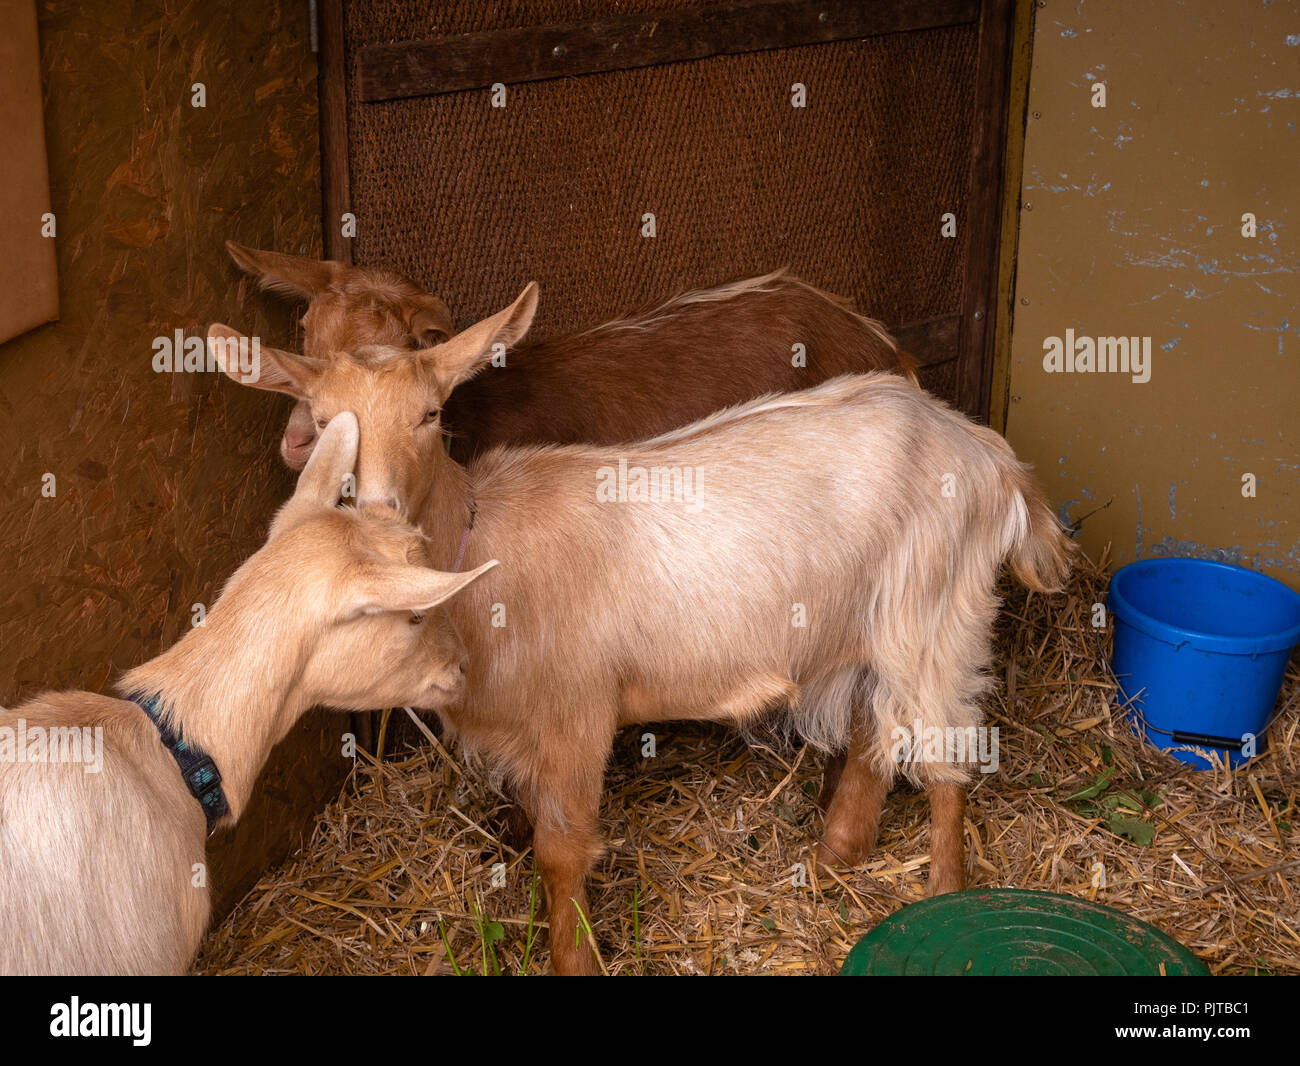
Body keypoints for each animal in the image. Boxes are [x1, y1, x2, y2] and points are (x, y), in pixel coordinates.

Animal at [212, 287, 1072, 975]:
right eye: (325, 421)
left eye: (431, 414)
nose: (374, 510)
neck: (481, 544)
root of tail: (990, 455)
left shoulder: (578, 714)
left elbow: (561, 854)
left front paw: (576, 961)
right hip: (869, 623)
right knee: (873, 735)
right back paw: (832, 861)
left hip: (937, 610)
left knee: (945, 752)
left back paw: (944, 894)